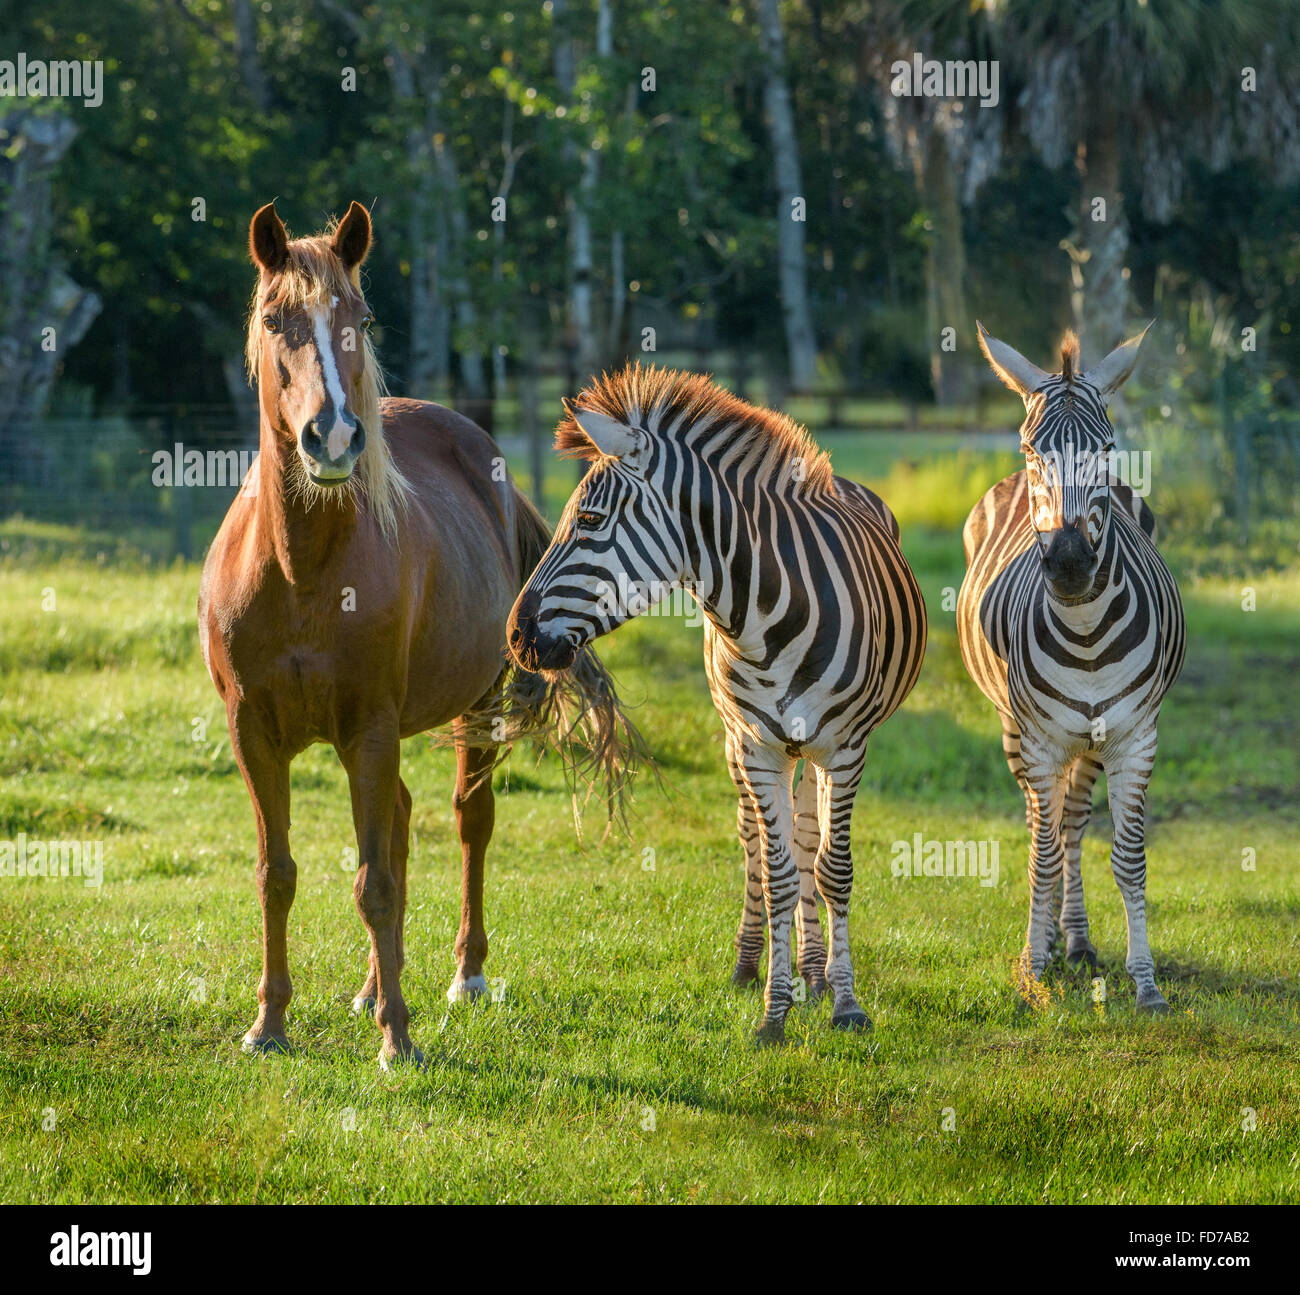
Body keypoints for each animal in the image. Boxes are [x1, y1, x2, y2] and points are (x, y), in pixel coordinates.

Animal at [198, 201, 637, 1068]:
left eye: (360, 319)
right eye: (274, 319)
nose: (334, 436)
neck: (301, 572)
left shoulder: (370, 727)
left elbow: (374, 881)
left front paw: (397, 1039)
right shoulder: (253, 733)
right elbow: (277, 872)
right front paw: (270, 1023)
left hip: (477, 707)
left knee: (469, 822)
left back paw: (463, 976)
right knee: (399, 824)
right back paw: (372, 987)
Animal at [507, 365, 926, 1043]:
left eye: (590, 520)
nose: (516, 636)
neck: (770, 616)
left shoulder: (846, 749)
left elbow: (832, 870)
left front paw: (845, 1005)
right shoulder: (756, 745)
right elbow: (778, 874)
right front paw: (774, 1013)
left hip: (812, 750)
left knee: (808, 841)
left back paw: (816, 972)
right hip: (744, 741)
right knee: (756, 841)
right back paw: (754, 963)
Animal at [958, 323, 1185, 1011]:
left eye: (1107, 450)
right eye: (1032, 450)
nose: (1068, 563)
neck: (1085, 637)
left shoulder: (1136, 739)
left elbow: (1127, 858)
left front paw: (1146, 982)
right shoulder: (1036, 741)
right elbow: (1041, 854)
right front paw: (1033, 968)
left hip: (1088, 745)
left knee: (1073, 824)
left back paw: (1076, 939)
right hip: (1018, 732)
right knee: (1048, 826)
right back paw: (1053, 941)